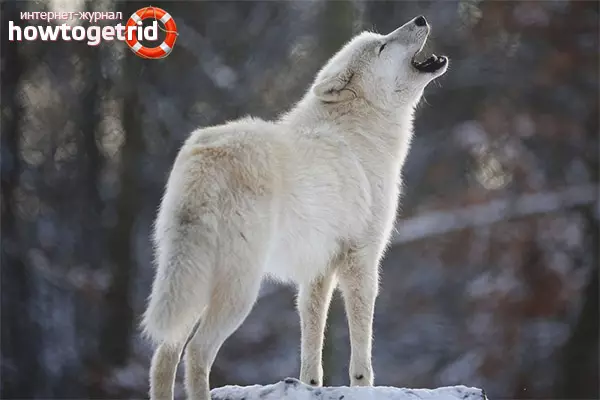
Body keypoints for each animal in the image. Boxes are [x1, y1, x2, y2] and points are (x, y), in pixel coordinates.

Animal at [143, 15, 448, 400]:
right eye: (382, 46)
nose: (420, 18)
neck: (360, 134)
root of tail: (205, 157)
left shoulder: (317, 269)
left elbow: (312, 337)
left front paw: (309, 385)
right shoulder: (361, 260)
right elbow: (361, 346)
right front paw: (363, 386)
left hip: (192, 284)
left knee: (163, 355)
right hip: (240, 290)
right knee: (196, 352)